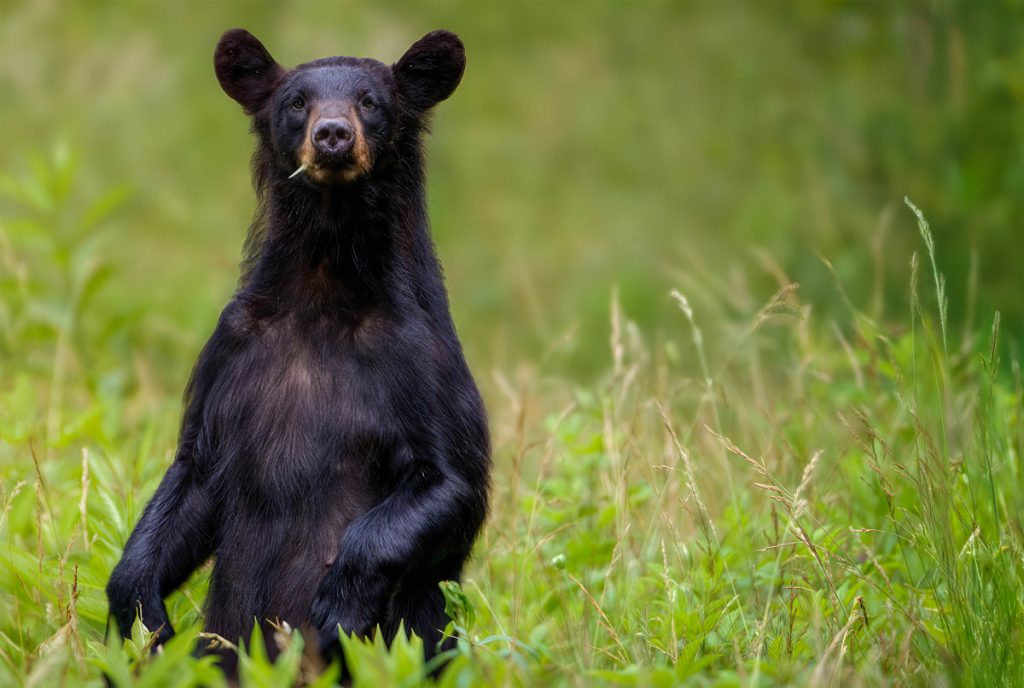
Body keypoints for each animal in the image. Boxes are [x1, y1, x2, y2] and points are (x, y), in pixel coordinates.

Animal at [105, 28, 491, 677]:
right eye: (296, 102)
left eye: (370, 101)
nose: (332, 134)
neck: (323, 289)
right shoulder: (231, 349)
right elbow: (193, 476)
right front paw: (142, 618)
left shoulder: (420, 358)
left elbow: (452, 482)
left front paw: (336, 607)